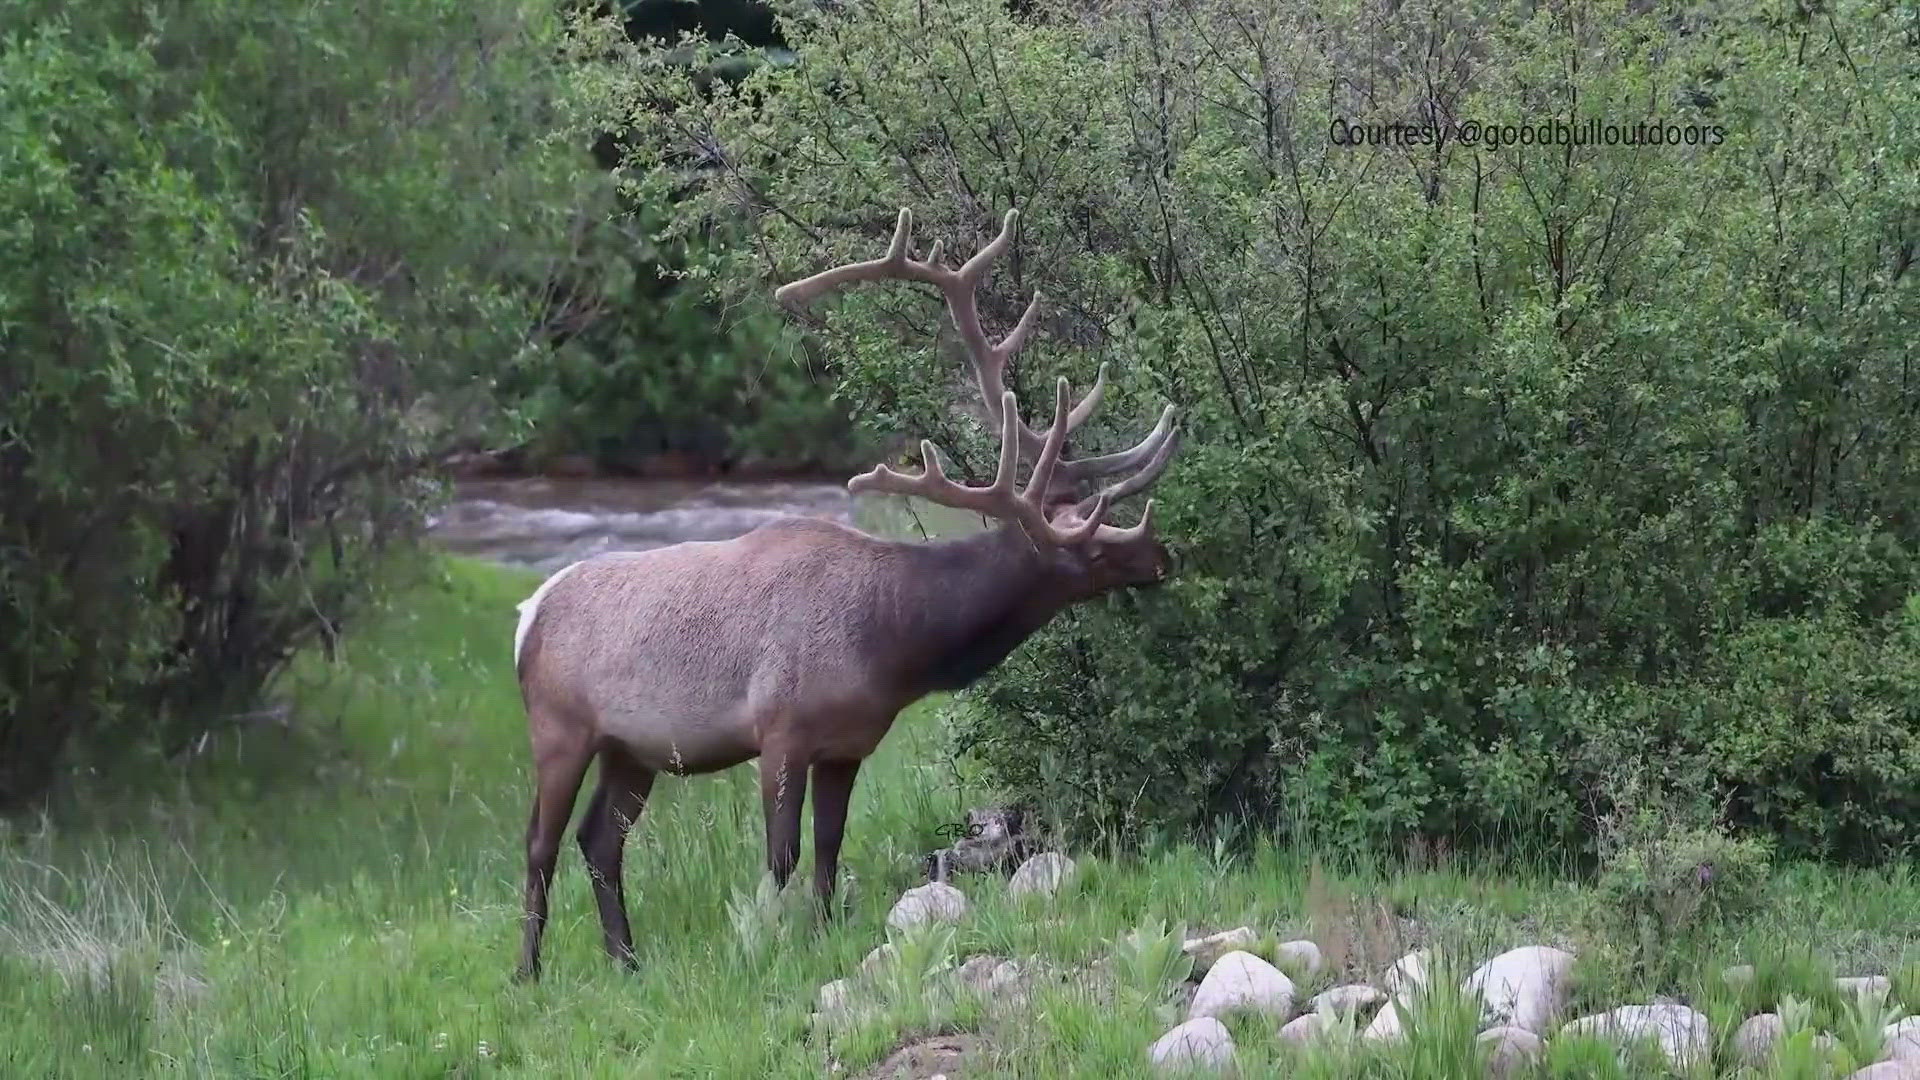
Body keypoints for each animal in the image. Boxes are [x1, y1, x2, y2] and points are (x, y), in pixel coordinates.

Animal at [508, 206, 1182, 982]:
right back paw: (527, 972)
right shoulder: (780, 730)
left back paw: (627, 961)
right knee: (539, 843)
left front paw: (821, 933)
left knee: (599, 840)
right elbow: (782, 855)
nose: (1164, 555)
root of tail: (526, 616)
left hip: (634, 748)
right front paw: (765, 944)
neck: (891, 645)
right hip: (559, 726)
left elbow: (830, 850)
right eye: (1094, 541)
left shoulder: (848, 744)